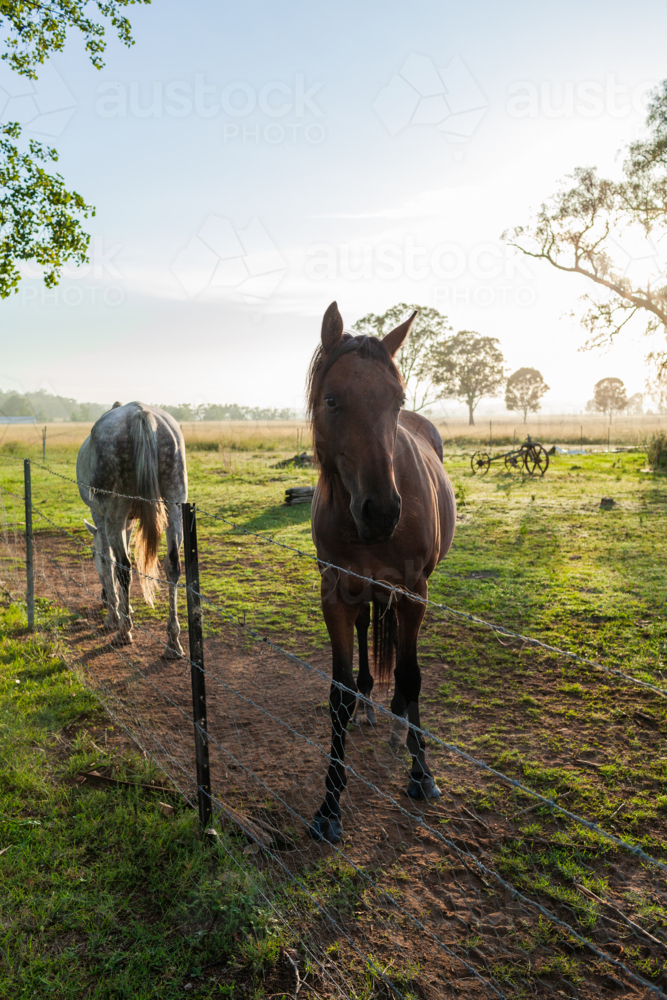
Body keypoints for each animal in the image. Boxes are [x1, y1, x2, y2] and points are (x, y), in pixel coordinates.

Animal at [76, 401, 188, 655]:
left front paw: (113, 614)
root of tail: (140, 414)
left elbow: (108, 560)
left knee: (123, 567)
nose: (102, 597)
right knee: (172, 565)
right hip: (174, 506)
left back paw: (124, 631)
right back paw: (173, 641)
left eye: (91, 555)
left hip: (114, 511)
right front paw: (123, 608)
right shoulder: (126, 523)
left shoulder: (101, 517)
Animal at [307, 302, 456, 844]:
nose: (381, 512)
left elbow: (412, 677)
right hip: (364, 592)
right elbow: (339, 693)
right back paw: (373, 707)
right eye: (332, 400)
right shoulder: (335, 593)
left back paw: (398, 728)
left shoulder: (415, 592)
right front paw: (329, 804)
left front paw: (422, 773)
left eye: (397, 400)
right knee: (370, 631)